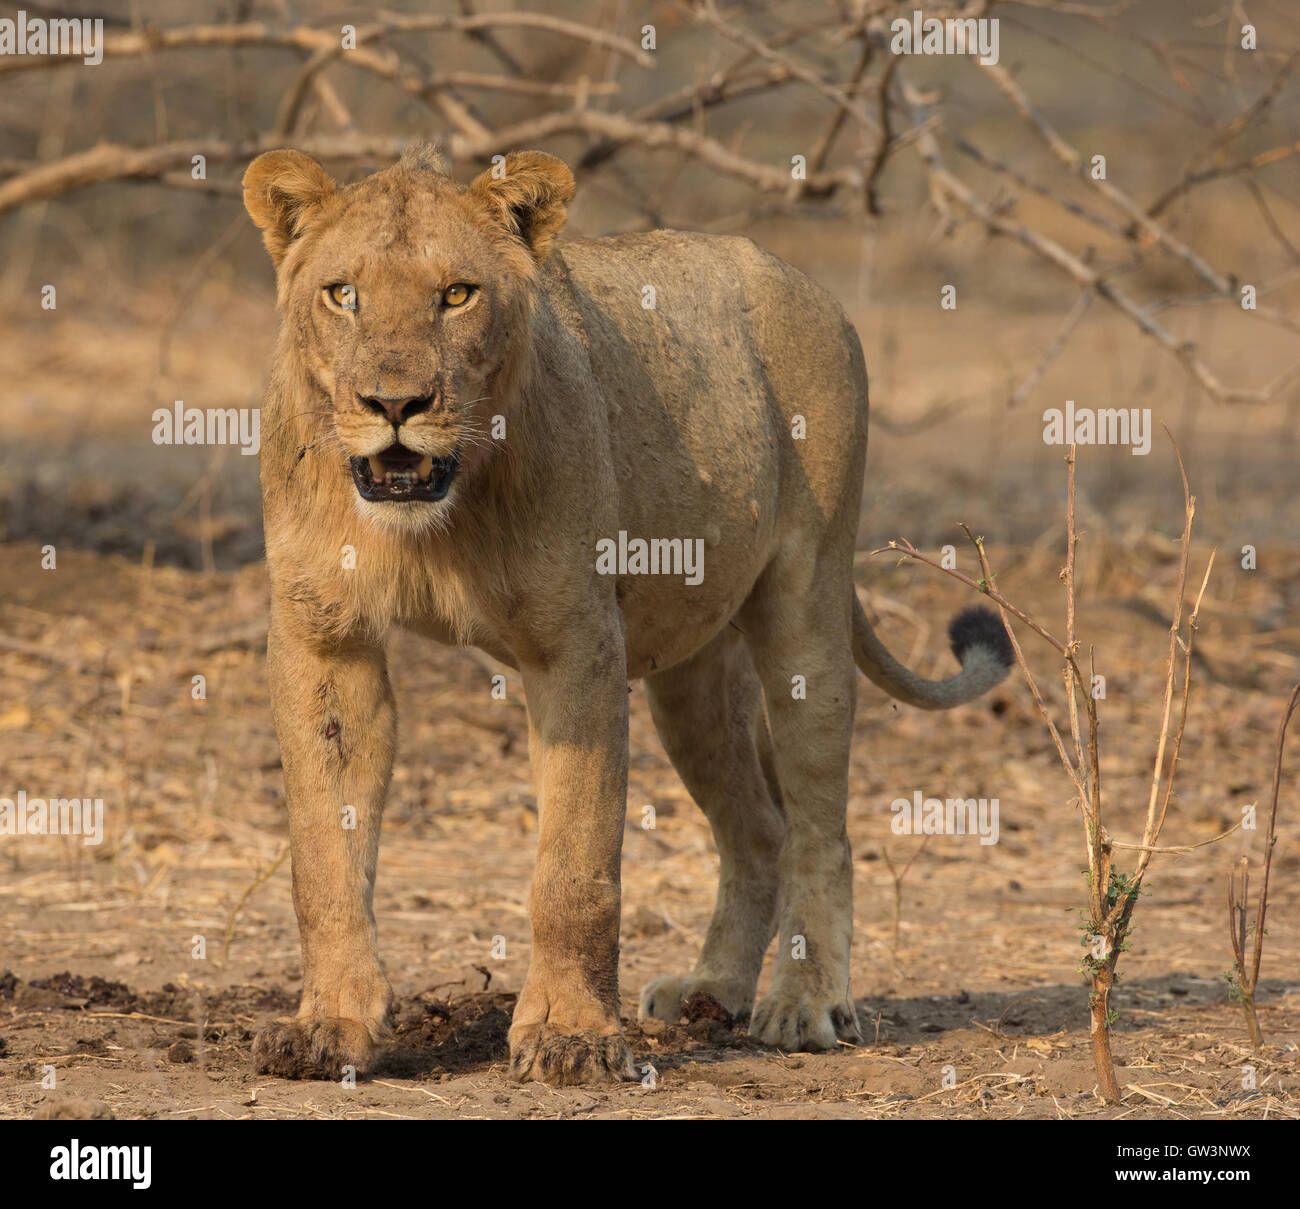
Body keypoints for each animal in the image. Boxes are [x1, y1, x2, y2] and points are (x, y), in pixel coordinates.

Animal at [241, 143, 1012, 1086]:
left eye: (456, 294)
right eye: (341, 293)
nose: (394, 405)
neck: (436, 520)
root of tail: (808, 284)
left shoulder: (576, 641)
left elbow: (575, 865)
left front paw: (569, 1036)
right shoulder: (325, 639)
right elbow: (325, 852)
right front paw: (330, 1023)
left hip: (808, 599)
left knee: (819, 824)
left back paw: (804, 1002)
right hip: (691, 672)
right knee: (758, 826)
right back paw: (713, 990)